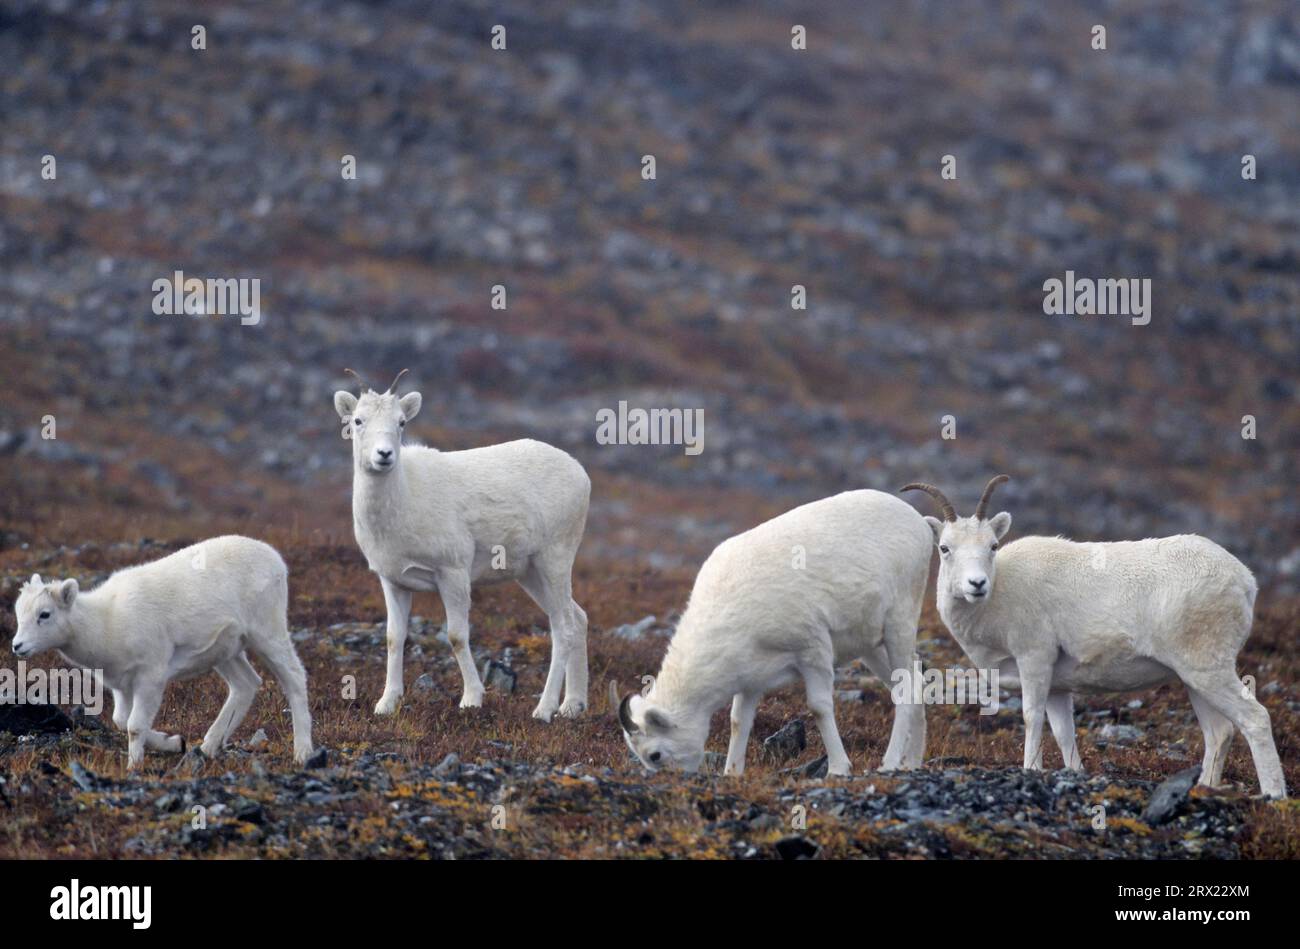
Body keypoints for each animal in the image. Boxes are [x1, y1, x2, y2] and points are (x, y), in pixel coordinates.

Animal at [10, 535, 313, 768]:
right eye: (18, 611)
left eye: (45, 614)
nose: (17, 646)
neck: (106, 621)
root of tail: (275, 560)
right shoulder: (122, 686)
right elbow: (121, 721)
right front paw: (175, 743)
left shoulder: (150, 677)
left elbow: (134, 725)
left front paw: (134, 766)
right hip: (226, 652)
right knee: (245, 685)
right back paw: (208, 748)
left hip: (268, 634)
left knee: (294, 678)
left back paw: (302, 753)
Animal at [333, 369, 591, 721]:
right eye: (357, 420)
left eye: (401, 422)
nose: (384, 455)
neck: (405, 499)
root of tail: (581, 473)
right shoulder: (394, 582)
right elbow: (393, 638)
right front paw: (386, 704)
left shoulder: (453, 574)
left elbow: (456, 636)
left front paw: (471, 699)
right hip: (530, 574)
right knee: (577, 619)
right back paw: (572, 706)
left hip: (555, 561)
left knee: (563, 629)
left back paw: (544, 709)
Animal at [611, 489, 932, 776]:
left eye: (655, 754)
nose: (674, 778)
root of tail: (920, 522)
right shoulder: (751, 681)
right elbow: (738, 721)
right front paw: (732, 773)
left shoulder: (813, 651)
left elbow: (819, 708)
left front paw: (839, 769)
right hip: (871, 647)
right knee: (911, 685)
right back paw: (910, 763)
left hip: (899, 626)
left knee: (905, 689)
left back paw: (889, 764)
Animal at [902, 475, 1287, 799]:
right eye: (945, 548)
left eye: (993, 546)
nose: (976, 584)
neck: (1001, 592)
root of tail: (1245, 581)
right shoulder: (1058, 687)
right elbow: (1063, 733)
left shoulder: (1034, 661)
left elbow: (1031, 717)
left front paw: (1030, 769)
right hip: (1195, 681)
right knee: (1220, 732)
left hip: (1209, 670)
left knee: (1255, 719)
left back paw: (1273, 796)